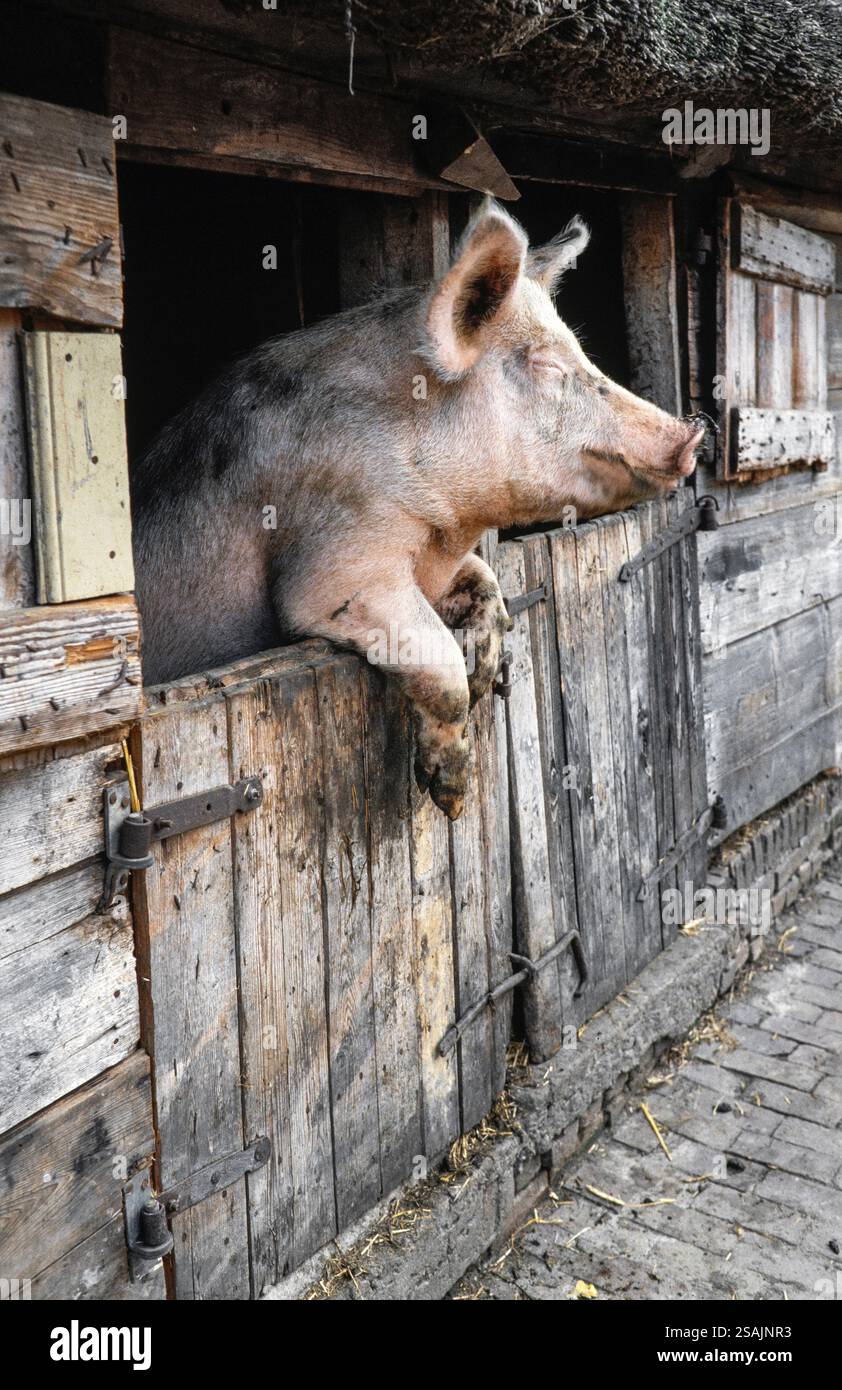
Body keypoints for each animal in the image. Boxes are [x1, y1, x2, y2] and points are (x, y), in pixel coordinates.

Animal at [132, 200, 702, 820]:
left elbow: (490, 588)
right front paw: (450, 797)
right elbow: (434, 656)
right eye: (546, 364)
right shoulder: (340, 563)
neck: (444, 532)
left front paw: (486, 675)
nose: (692, 432)